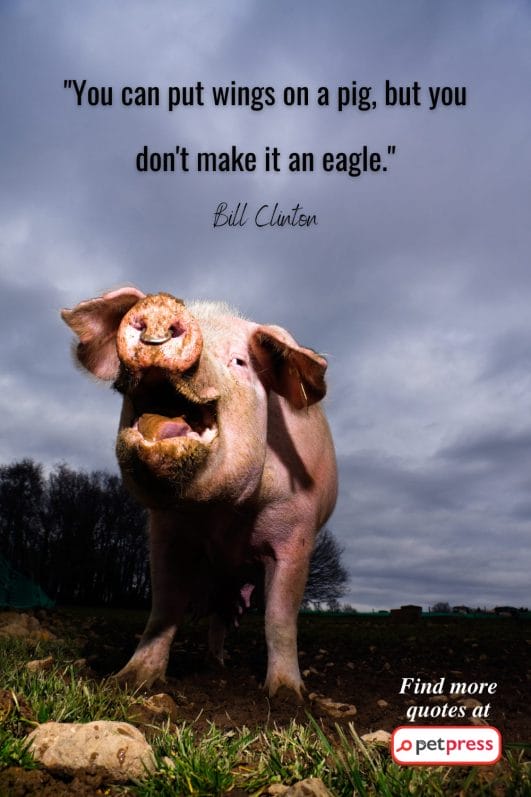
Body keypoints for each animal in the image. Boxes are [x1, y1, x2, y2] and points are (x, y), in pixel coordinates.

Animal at [61, 287, 337, 698]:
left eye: (239, 361)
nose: (161, 309)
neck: (223, 511)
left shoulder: (296, 534)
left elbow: (279, 617)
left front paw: (286, 695)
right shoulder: (165, 531)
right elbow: (164, 607)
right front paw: (129, 681)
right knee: (218, 616)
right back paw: (212, 665)